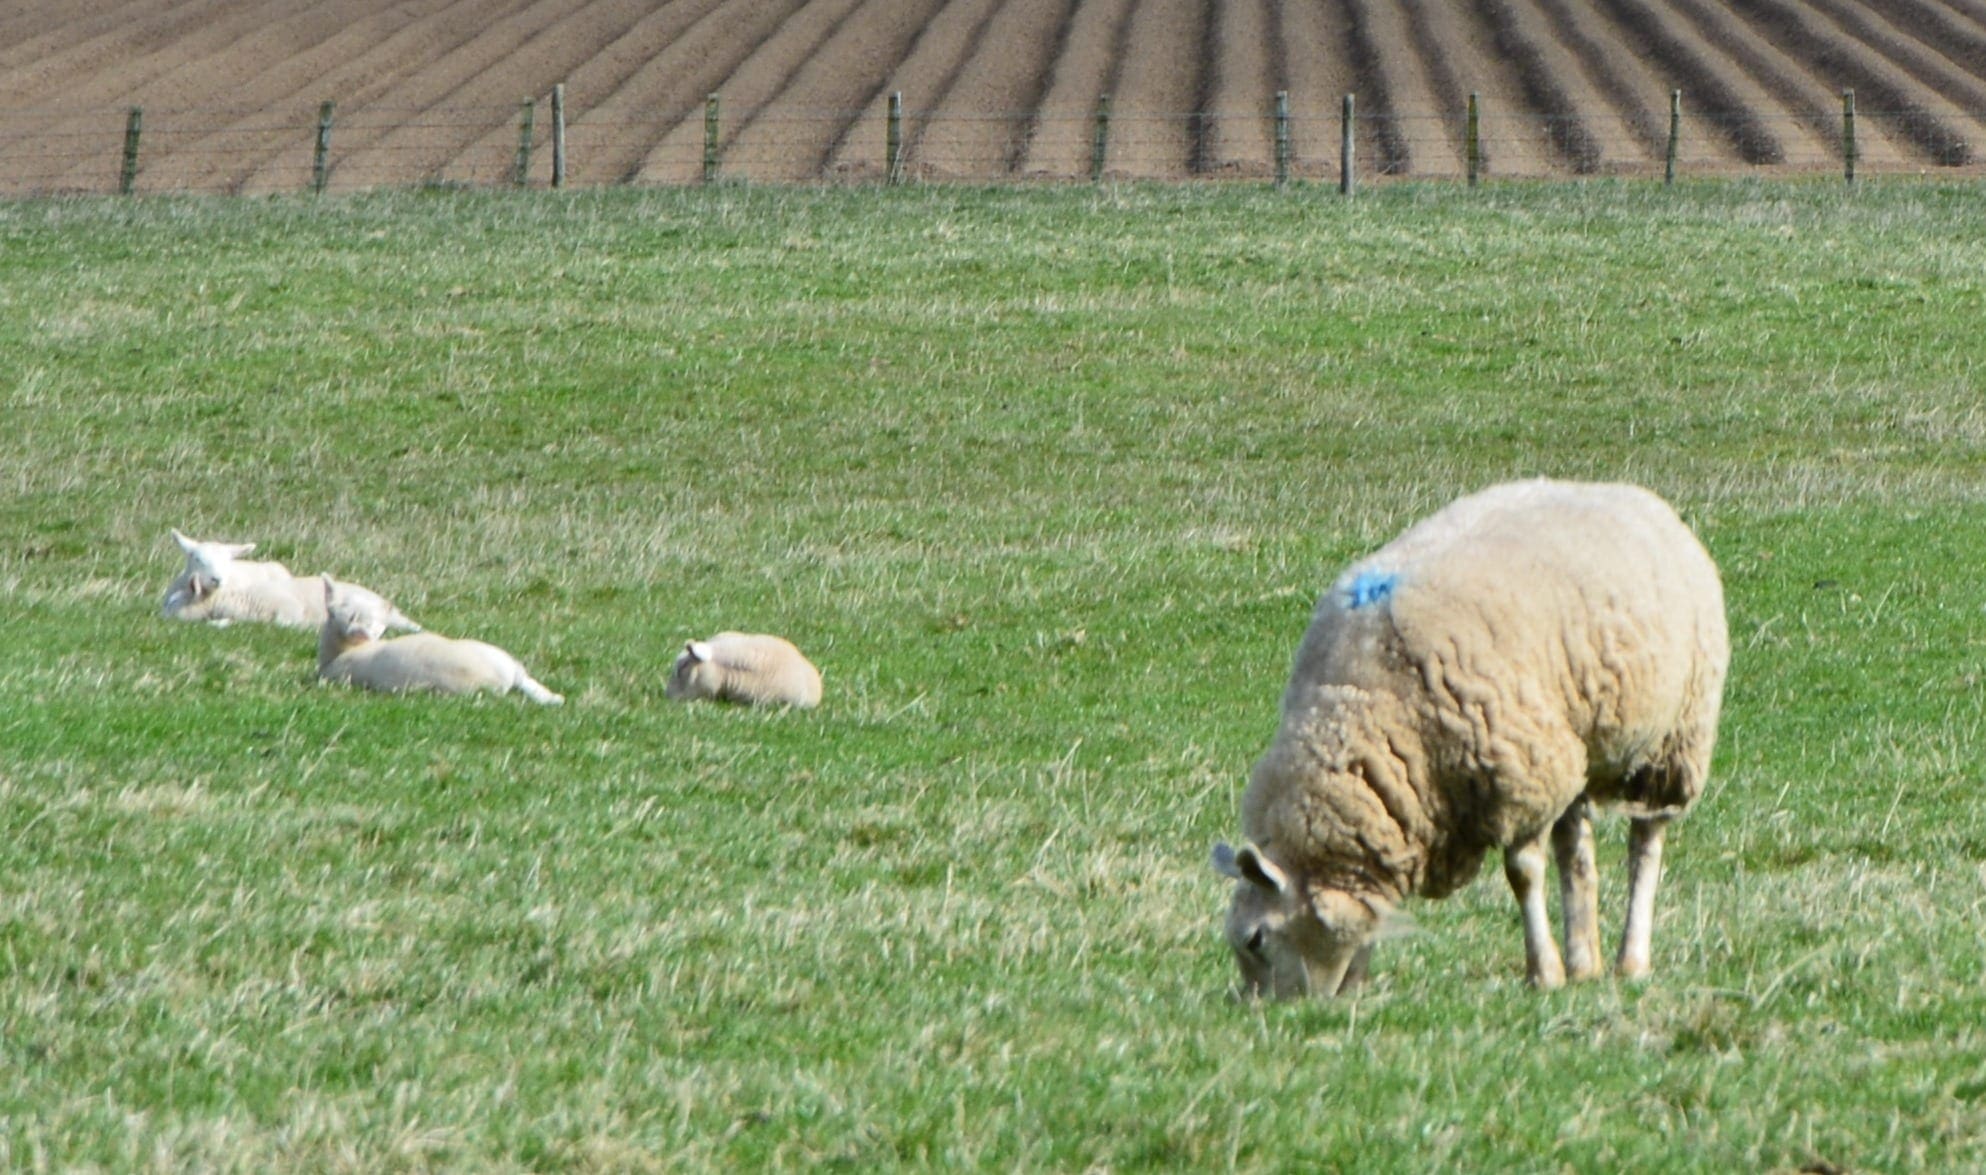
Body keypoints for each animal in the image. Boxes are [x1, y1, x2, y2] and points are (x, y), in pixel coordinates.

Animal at [1211, 478, 1728, 998]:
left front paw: (1543, 972)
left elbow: (1523, 875)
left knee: (1646, 843)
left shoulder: (1518, 775)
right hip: (1571, 747)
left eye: (1255, 939)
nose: (1263, 1008)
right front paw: (1356, 983)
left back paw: (1630, 960)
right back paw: (1585, 961)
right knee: (1576, 851)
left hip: (1675, 740)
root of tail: (1631, 493)